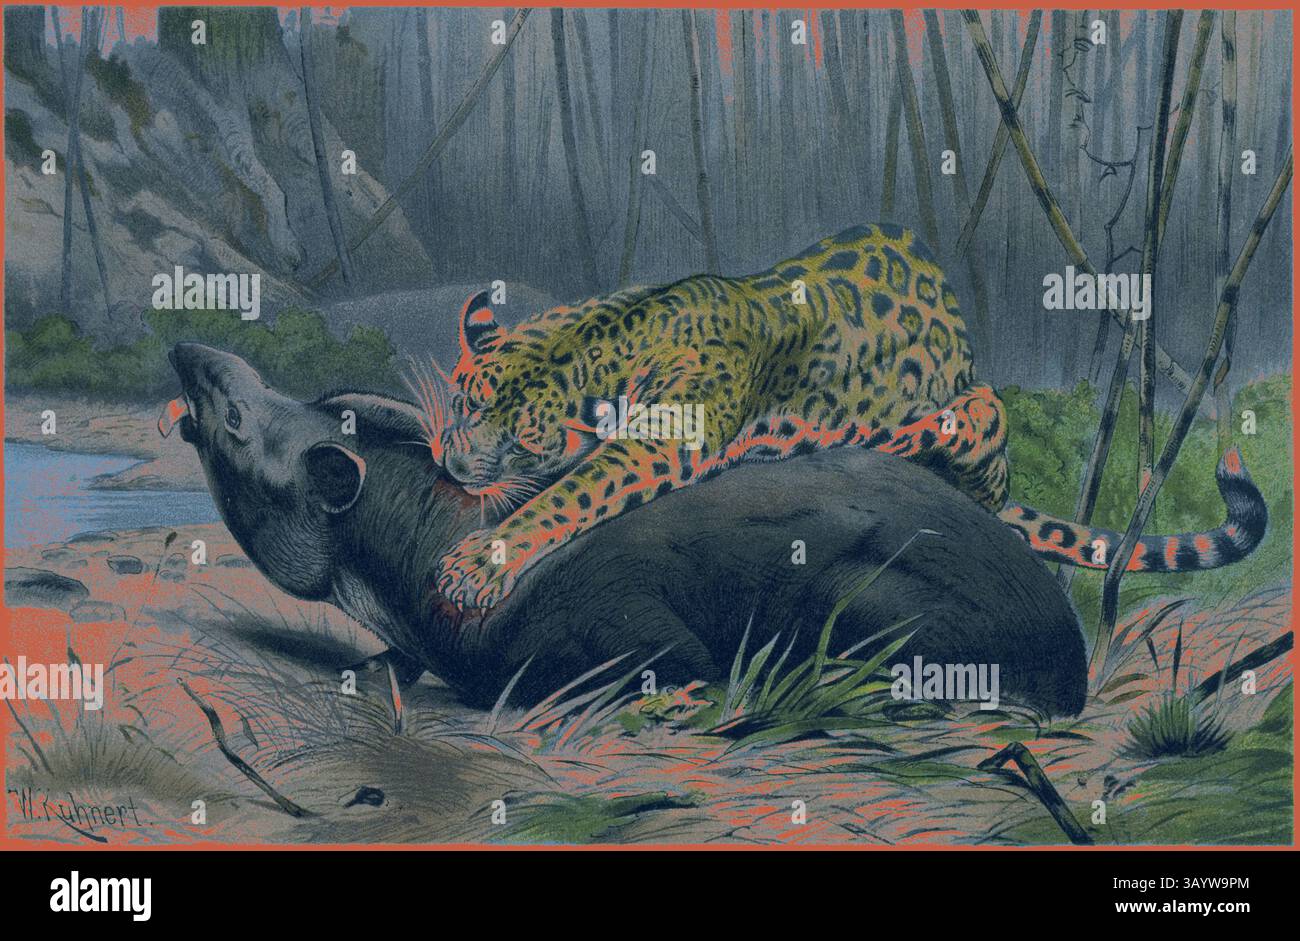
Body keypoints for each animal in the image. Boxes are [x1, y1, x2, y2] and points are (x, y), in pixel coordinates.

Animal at [417, 224, 1266, 611]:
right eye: (464, 402)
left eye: (522, 443)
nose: (452, 464)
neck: (618, 325)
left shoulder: (663, 442)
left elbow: (573, 492)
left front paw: (480, 560)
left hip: (979, 411)